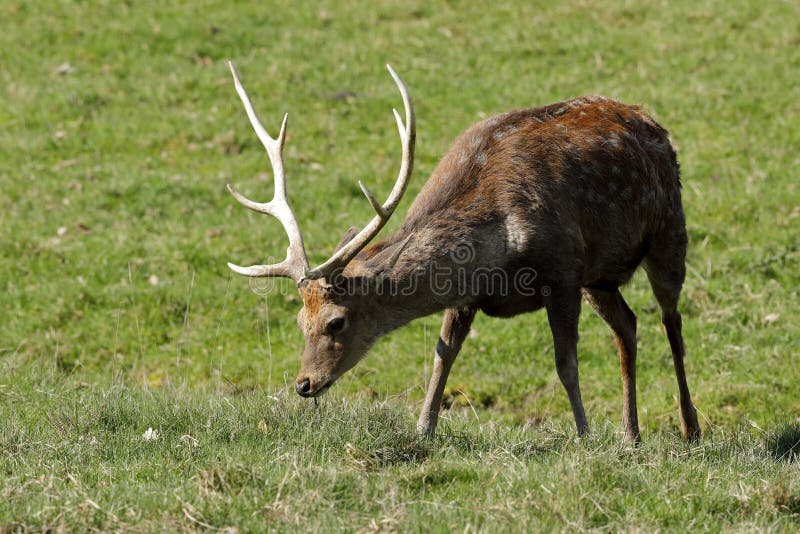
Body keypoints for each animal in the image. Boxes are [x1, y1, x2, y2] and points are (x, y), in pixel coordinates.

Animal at [223, 62, 701, 443]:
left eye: (336, 321)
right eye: (299, 321)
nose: (303, 384)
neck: (499, 241)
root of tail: (651, 121)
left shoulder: (562, 270)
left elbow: (565, 363)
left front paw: (583, 433)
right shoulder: (469, 293)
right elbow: (443, 354)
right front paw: (423, 428)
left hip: (669, 231)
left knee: (672, 322)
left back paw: (690, 427)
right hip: (599, 276)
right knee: (628, 324)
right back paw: (631, 434)